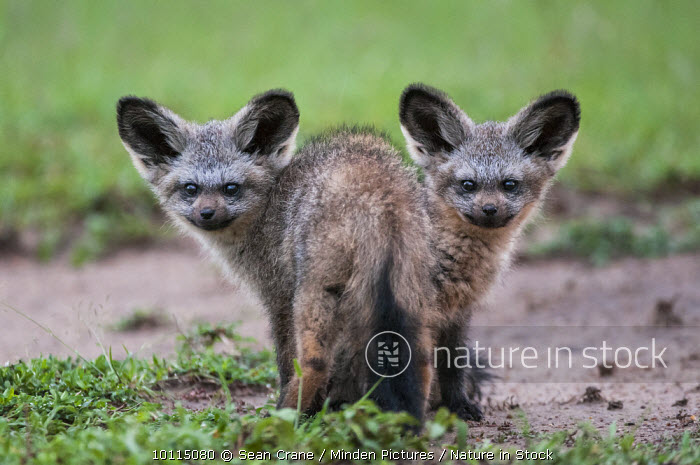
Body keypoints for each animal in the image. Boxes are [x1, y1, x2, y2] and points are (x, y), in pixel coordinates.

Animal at [116, 90, 436, 420]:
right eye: (190, 189)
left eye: (231, 188)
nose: (206, 214)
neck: (269, 208)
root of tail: (378, 193)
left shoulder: (278, 298)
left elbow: (285, 359)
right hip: (410, 294)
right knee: (423, 360)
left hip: (313, 297)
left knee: (315, 362)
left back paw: (284, 415)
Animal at [398, 84, 581, 420]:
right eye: (468, 185)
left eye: (509, 185)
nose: (489, 209)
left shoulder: (457, 314)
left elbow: (453, 365)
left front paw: (458, 405)